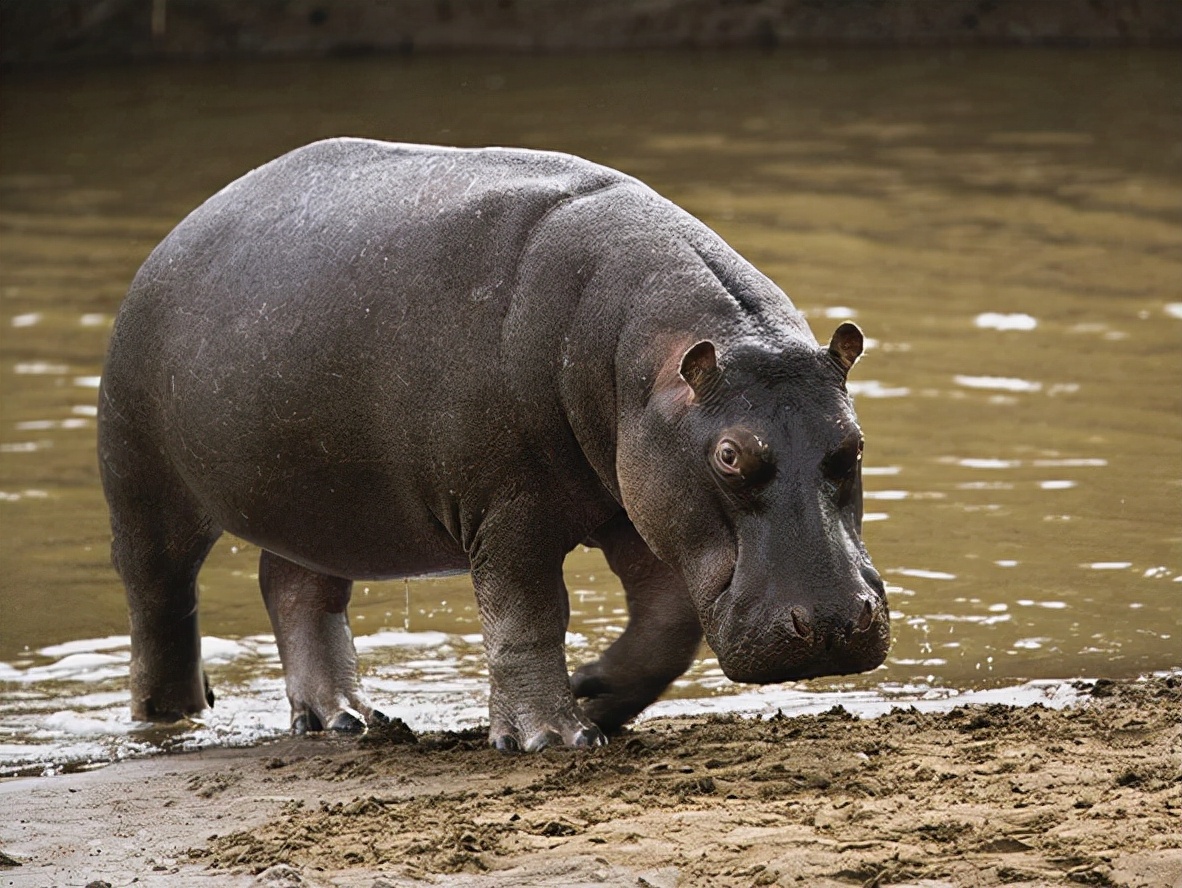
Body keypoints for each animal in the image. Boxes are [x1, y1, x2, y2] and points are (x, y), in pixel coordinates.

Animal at [97, 138, 889, 751]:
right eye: (729, 456)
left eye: (852, 443)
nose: (830, 623)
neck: (641, 358)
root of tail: (175, 236)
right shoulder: (508, 511)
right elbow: (527, 616)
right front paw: (552, 737)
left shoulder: (639, 503)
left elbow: (667, 624)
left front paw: (593, 693)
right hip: (144, 482)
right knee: (159, 604)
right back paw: (171, 719)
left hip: (319, 502)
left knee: (295, 589)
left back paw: (344, 719)